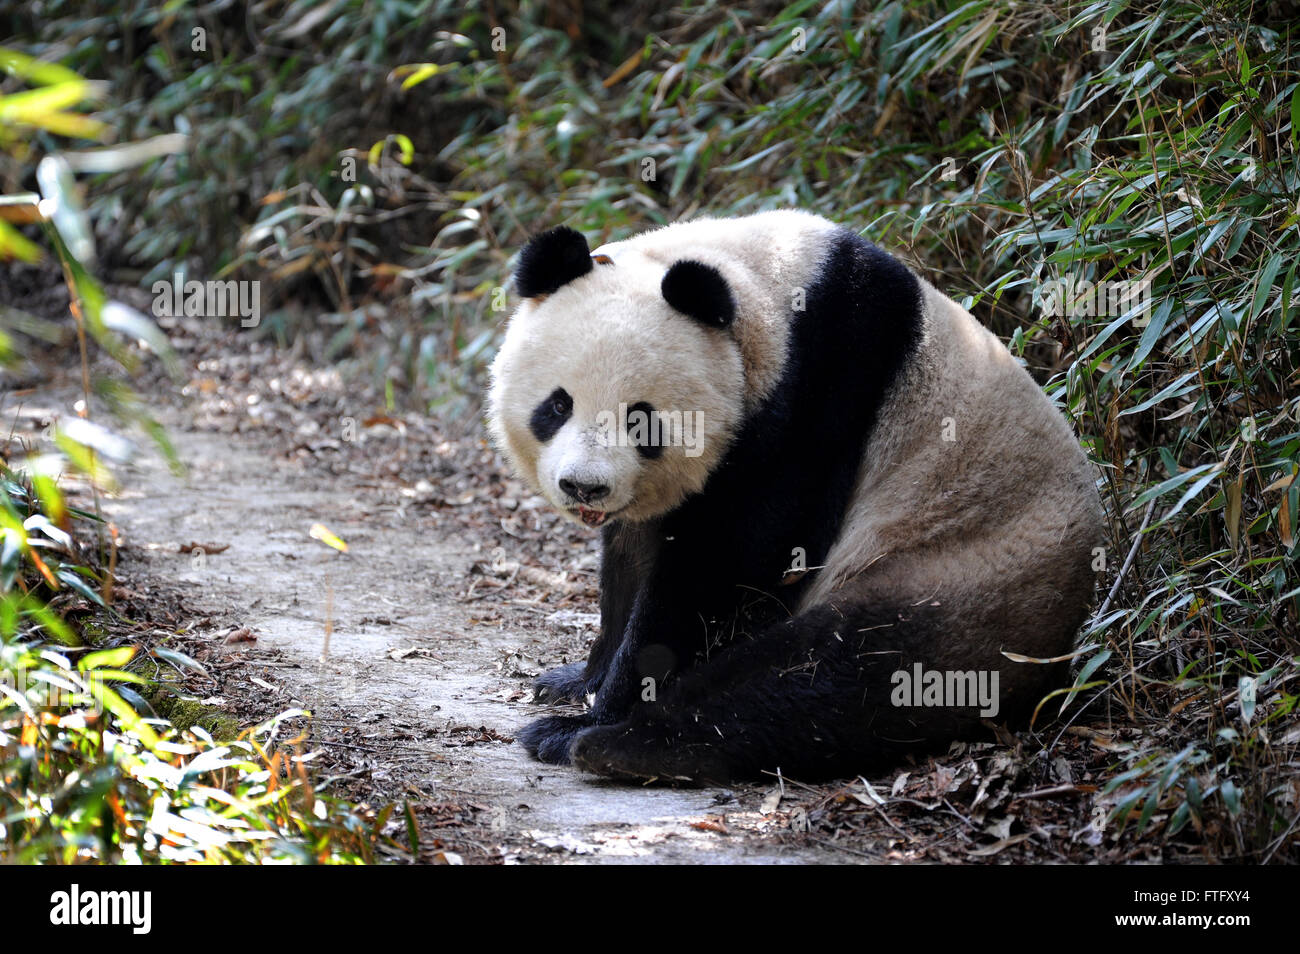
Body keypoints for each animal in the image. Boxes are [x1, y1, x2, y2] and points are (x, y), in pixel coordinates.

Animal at [487, 209, 1103, 782]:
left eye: (642, 421)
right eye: (558, 405)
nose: (585, 486)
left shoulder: (821, 392)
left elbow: (730, 564)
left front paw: (594, 712)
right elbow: (633, 558)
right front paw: (576, 681)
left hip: (962, 573)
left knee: (832, 672)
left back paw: (609, 744)